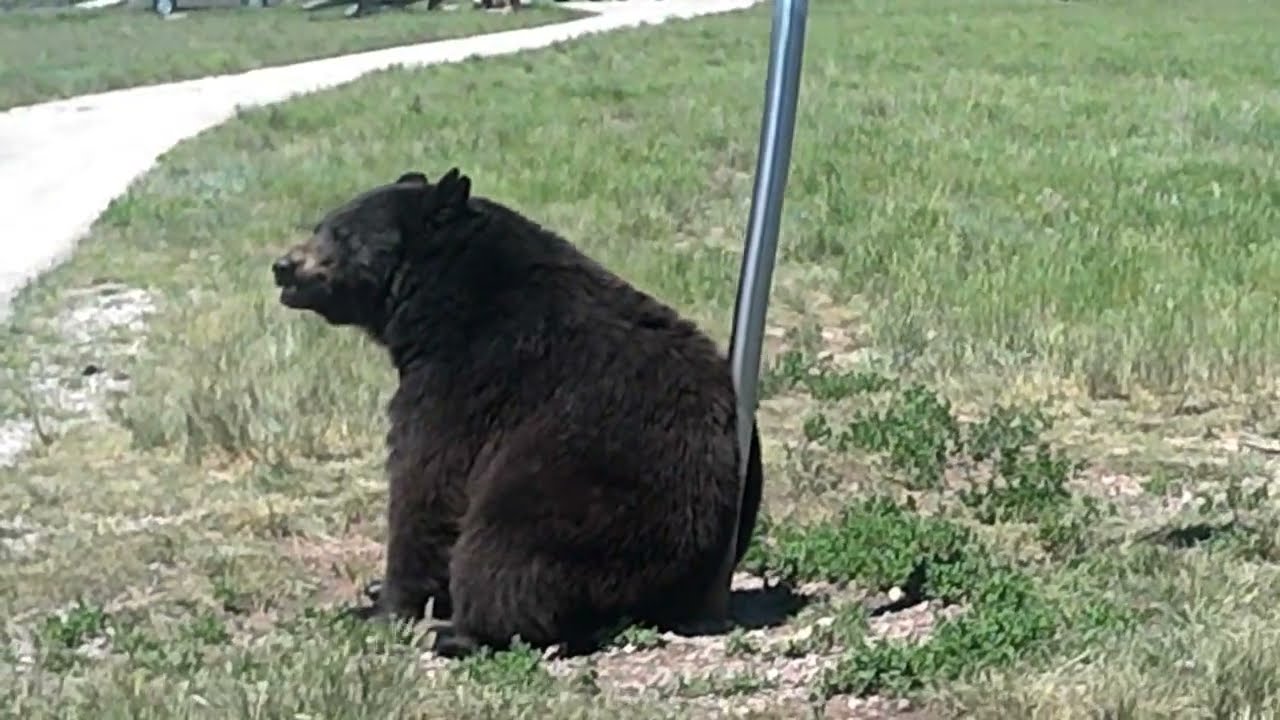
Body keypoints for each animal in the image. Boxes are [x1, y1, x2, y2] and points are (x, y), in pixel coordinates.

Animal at [270, 167, 764, 657]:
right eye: (320, 224)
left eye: (343, 234)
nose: (283, 267)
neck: (449, 300)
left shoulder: (465, 381)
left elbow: (426, 484)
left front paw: (383, 607)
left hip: (575, 501)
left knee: (502, 557)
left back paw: (460, 632)